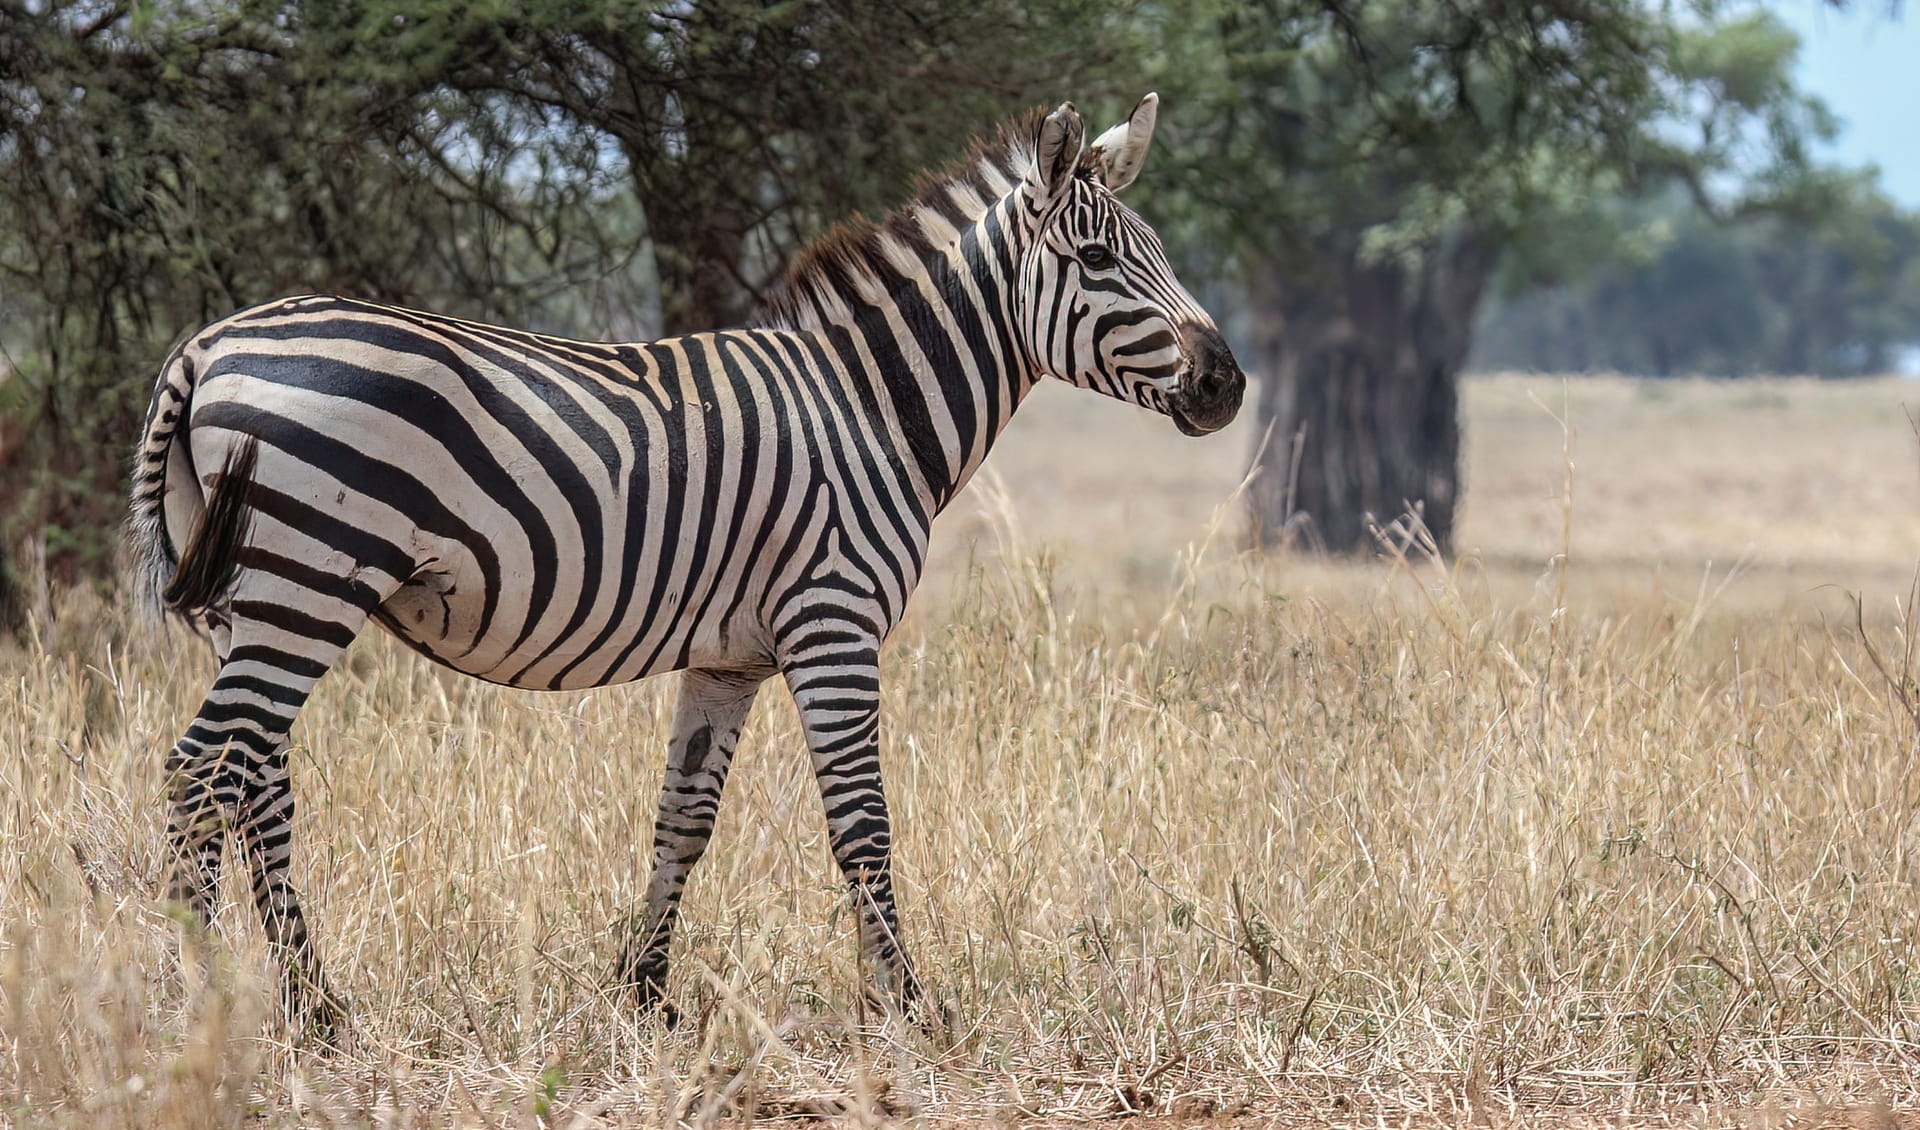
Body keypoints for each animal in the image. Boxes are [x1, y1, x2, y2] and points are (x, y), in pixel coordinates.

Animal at [128, 94, 1245, 1037]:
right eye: (1096, 258)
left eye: (1154, 250)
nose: (1227, 384)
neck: (870, 404)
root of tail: (206, 345)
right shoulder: (832, 621)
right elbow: (863, 825)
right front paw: (906, 1009)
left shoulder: (728, 657)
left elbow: (684, 821)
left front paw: (646, 994)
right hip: (308, 581)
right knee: (203, 773)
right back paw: (194, 1004)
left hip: (254, 599)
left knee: (257, 783)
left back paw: (315, 1005)